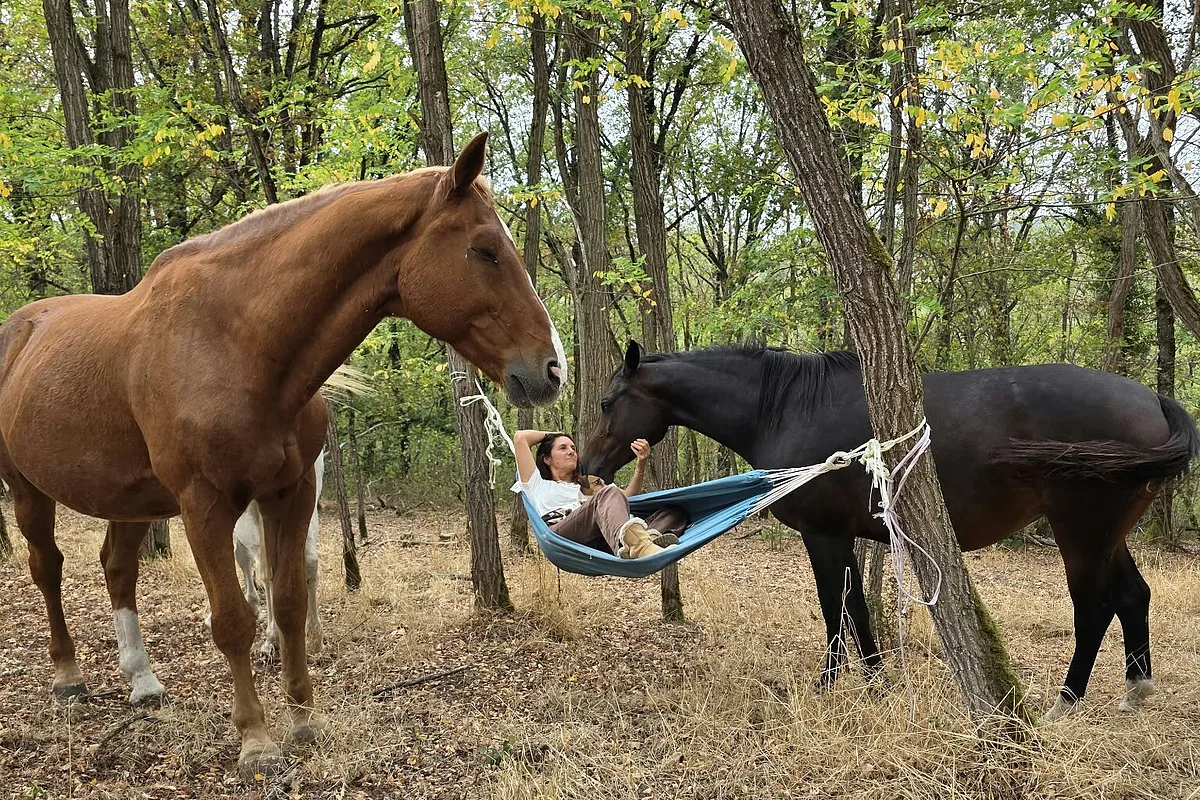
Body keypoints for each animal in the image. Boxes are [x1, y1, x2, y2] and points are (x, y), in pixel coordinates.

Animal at [582, 342, 1199, 720]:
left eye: (609, 401)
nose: (588, 464)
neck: (784, 408)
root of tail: (1153, 398)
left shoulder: (823, 535)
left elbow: (835, 608)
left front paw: (829, 685)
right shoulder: (847, 535)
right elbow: (857, 606)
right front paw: (877, 681)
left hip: (1082, 532)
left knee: (1095, 607)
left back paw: (1065, 702)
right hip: (1108, 534)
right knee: (1133, 595)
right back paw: (1135, 690)